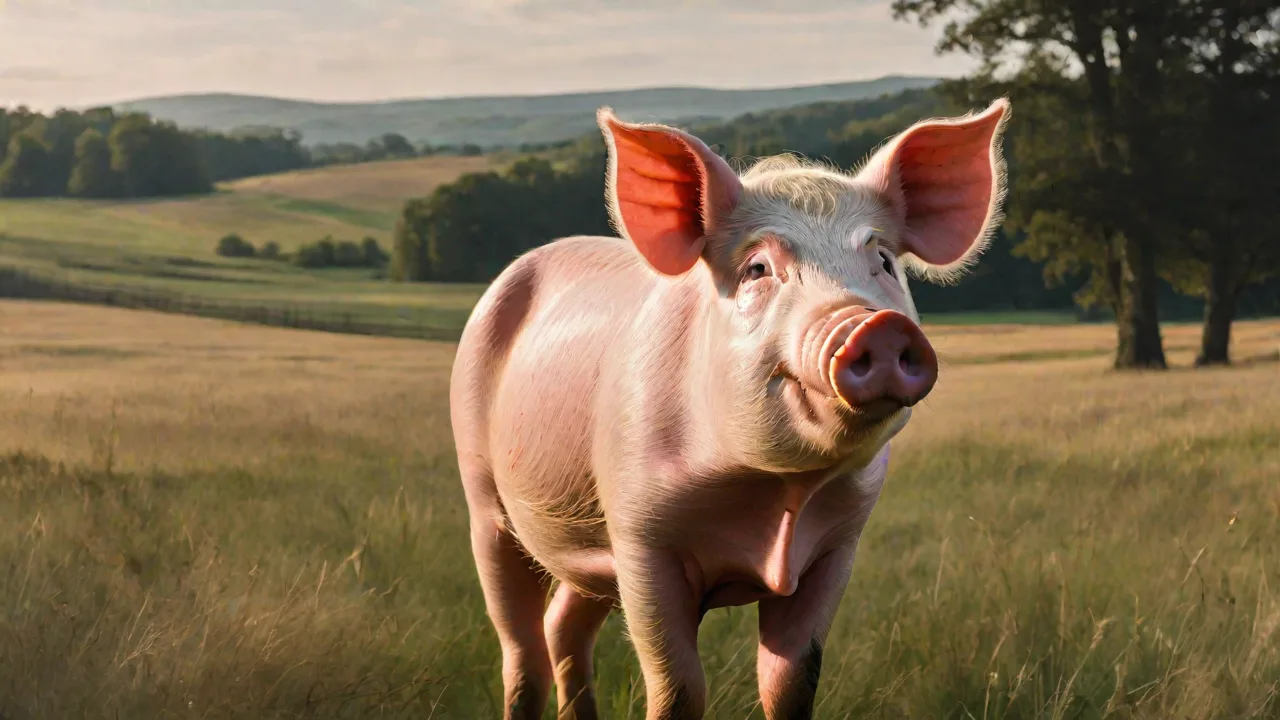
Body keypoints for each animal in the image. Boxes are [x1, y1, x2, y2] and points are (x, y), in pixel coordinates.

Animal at [449, 97, 1010, 720]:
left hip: (584, 548)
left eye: (884, 260)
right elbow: (679, 688)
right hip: (483, 498)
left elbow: (790, 681)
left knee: (563, 627)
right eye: (757, 269)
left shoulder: (837, 545)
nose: (876, 324)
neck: (779, 495)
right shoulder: (641, 537)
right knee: (522, 650)